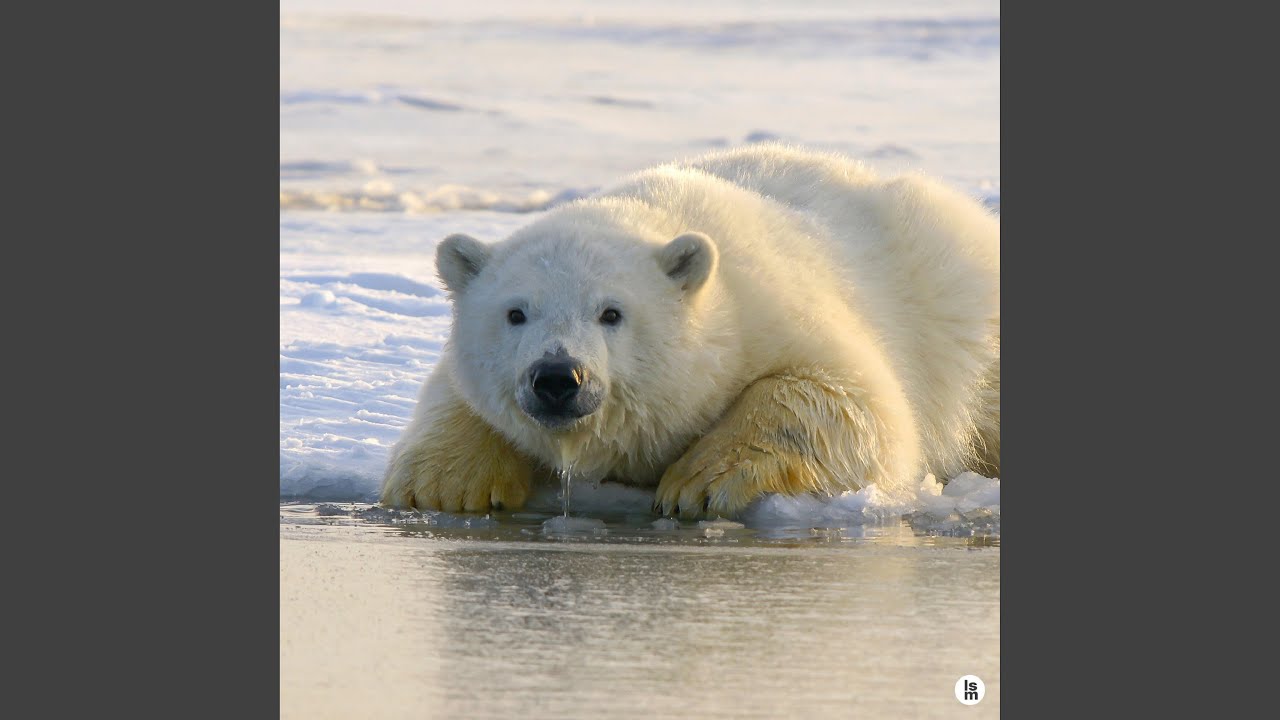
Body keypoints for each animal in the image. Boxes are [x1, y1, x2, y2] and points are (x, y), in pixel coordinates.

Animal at [381, 144, 999, 519]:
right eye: (516, 313)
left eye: (611, 313)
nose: (557, 377)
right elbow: (454, 392)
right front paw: (447, 483)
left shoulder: (775, 311)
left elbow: (853, 401)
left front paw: (698, 482)